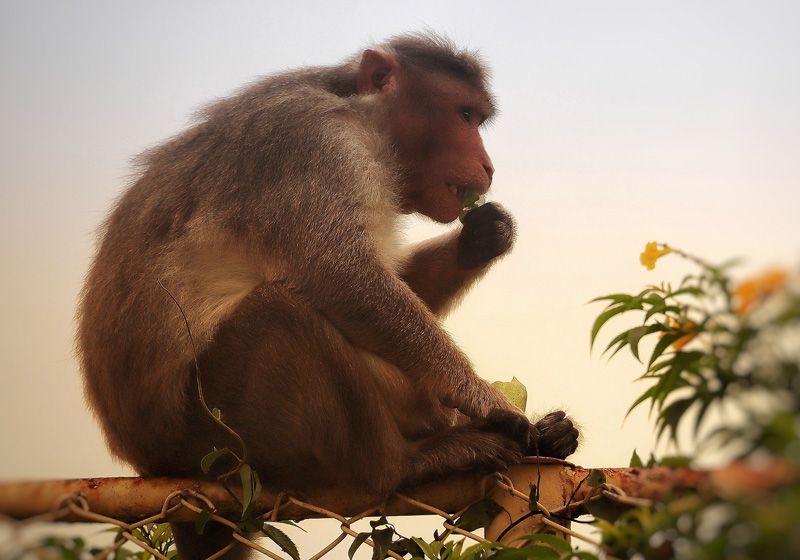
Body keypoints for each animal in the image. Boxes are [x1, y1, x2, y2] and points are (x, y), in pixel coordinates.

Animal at [77, 33, 579, 558]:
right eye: (464, 115)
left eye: (477, 119)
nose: (488, 165)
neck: (361, 115)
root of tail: (152, 463)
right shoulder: (316, 144)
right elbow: (340, 274)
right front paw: (486, 400)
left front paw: (483, 236)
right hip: (213, 437)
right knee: (281, 314)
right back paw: (409, 461)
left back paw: (543, 435)